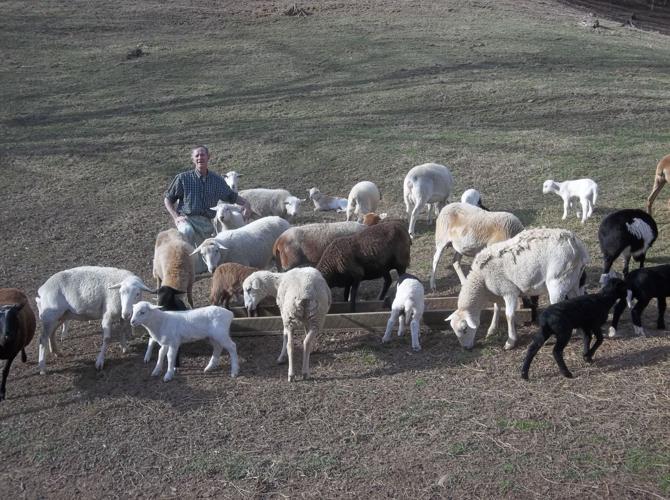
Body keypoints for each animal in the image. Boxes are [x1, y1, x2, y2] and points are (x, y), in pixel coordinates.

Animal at [446, 228, 589, 351]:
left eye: (465, 329)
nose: (466, 348)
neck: (481, 280)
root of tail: (577, 245)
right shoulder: (498, 291)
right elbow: (496, 308)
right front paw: (492, 329)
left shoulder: (509, 291)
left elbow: (509, 315)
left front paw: (510, 341)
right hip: (574, 281)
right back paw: (577, 330)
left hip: (558, 279)